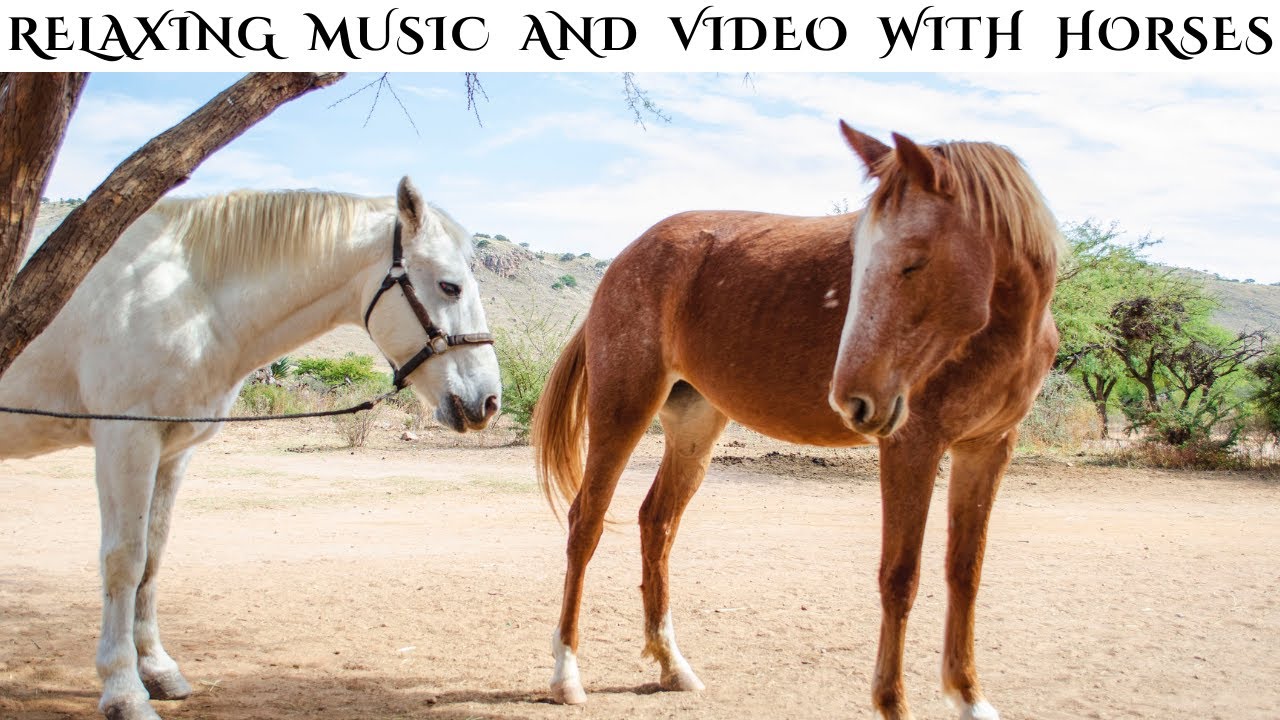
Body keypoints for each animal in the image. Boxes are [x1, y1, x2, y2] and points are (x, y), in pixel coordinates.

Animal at [0, 178, 501, 720]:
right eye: (450, 286)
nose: (489, 401)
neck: (188, 295)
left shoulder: (171, 451)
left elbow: (153, 557)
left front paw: (157, 669)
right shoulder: (125, 440)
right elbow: (124, 561)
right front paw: (123, 689)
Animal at [532, 123, 1060, 720]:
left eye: (914, 260)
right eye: (857, 258)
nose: (853, 399)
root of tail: (623, 259)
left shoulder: (988, 447)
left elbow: (965, 573)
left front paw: (969, 697)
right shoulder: (913, 444)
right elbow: (900, 575)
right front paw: (892, 702)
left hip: (694, 427)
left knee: (656, 523)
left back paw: (671, 664)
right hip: (621, 410)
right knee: (586, 522)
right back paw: (566, 673)